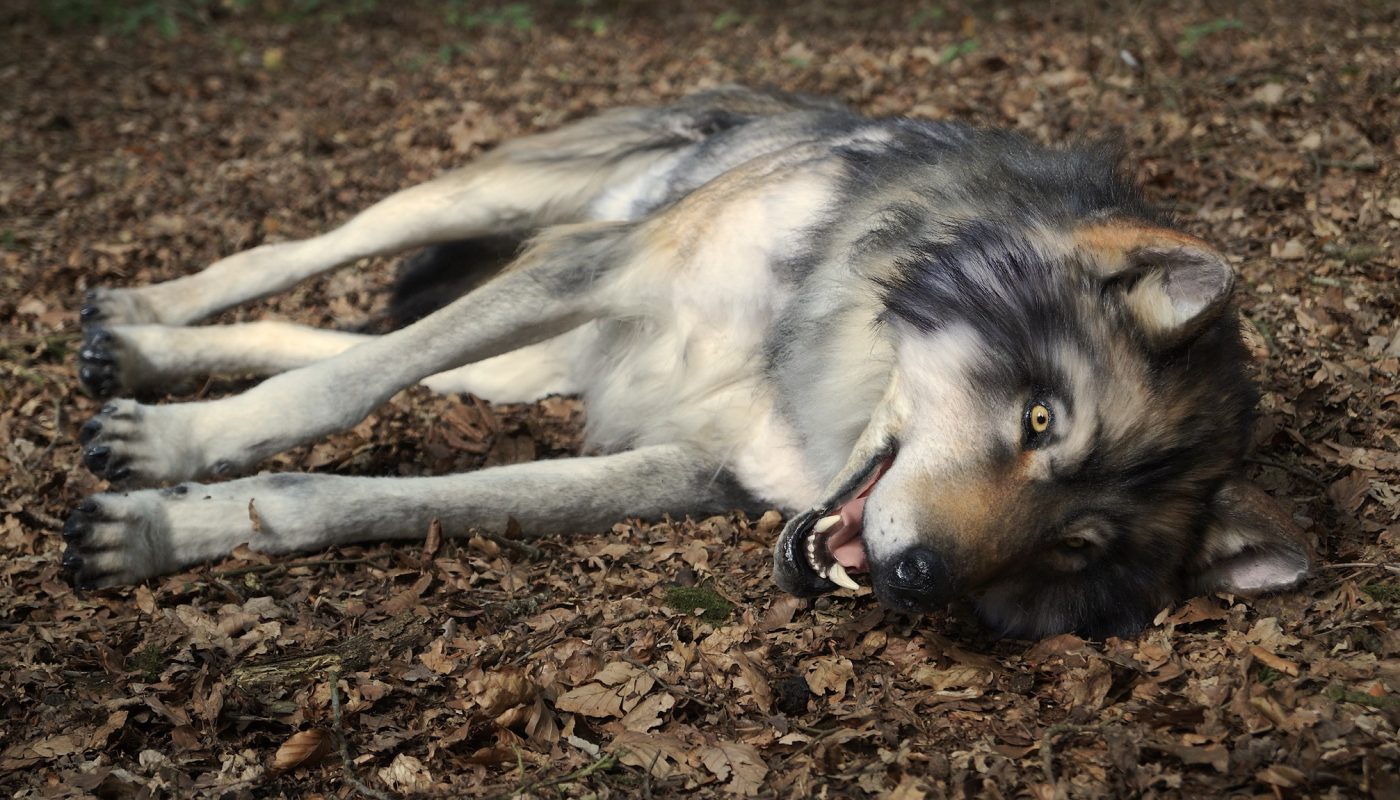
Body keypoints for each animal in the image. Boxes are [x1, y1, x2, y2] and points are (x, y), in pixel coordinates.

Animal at [66, 86, 1311, 638]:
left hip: (531, 361)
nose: (916, 581)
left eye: (1073, 548)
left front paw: (171, 524)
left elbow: (388, 491)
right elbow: (332, 392)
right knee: (305, 264)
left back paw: (137, 349)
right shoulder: (606, 266)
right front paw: (180, 446)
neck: (806, 370)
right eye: (1040, 419)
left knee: (353, 340)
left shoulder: (695, 466)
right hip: (505, 211)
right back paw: (136, 320)